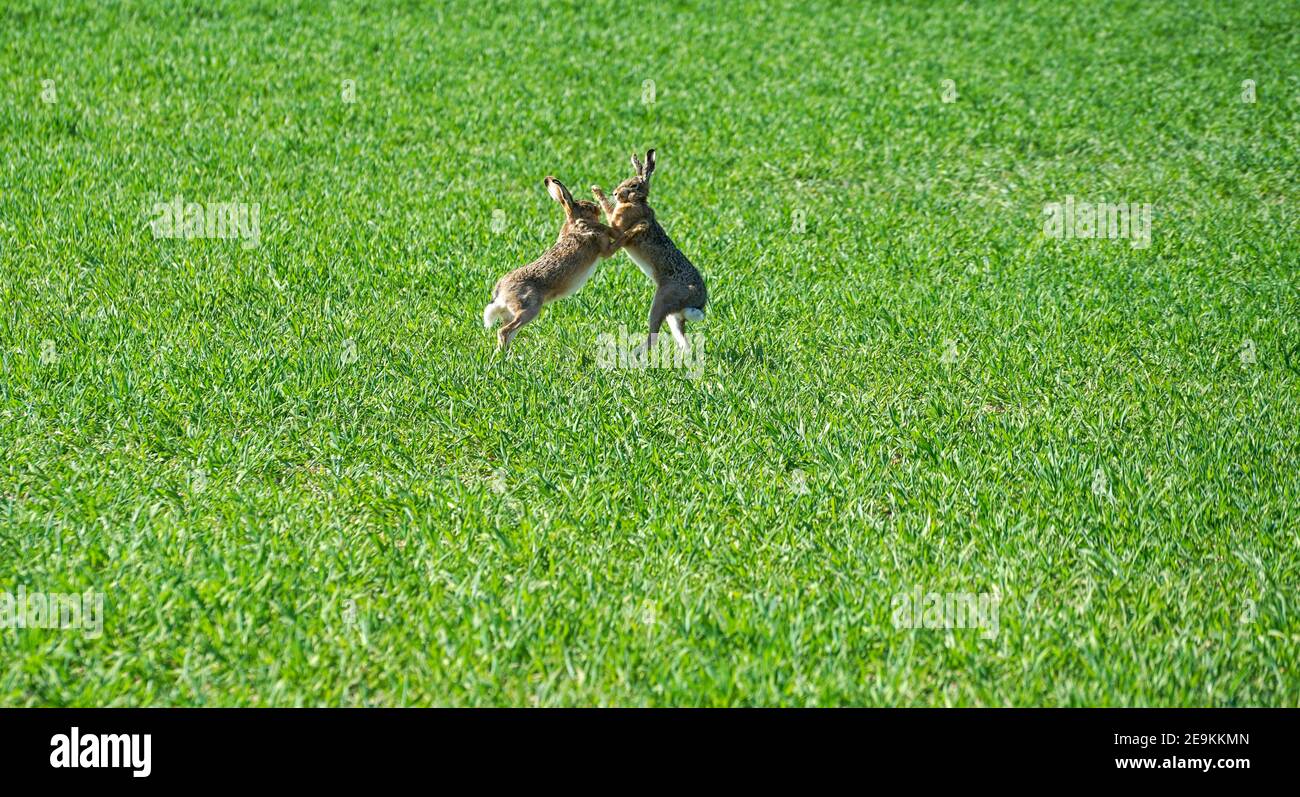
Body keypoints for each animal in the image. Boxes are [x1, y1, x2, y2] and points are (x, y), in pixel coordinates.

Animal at [483, 176, 623, 351]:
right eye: (587, 207)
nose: (597, 208)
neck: (576, 224)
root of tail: (500, 292)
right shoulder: (604, 249)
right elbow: (617, 242)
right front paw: (635, 230)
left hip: (511, 313)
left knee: (507, 333)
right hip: (529, 308)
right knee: (504, 332)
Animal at [591, 149, 706, 353]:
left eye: (634, 185)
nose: (615, 192)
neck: (637, 202)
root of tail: (697, 304)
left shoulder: (618, 226)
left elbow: (610, 214)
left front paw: (596, 190)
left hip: (662, 300)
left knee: (653, 337)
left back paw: (632, 353)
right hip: (672, 317)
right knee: (683, 342)